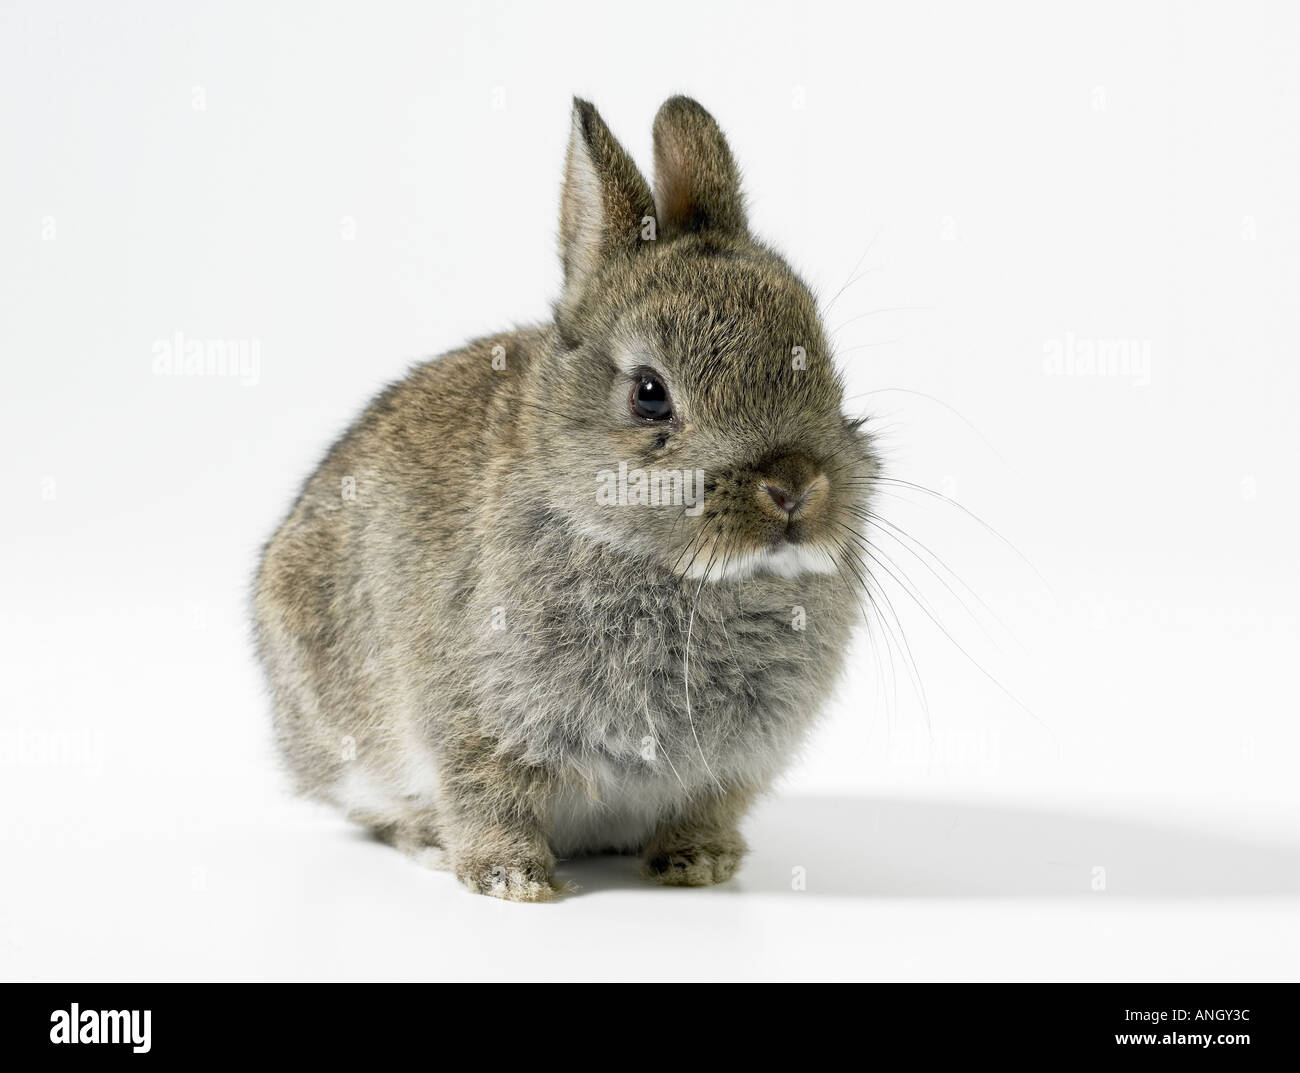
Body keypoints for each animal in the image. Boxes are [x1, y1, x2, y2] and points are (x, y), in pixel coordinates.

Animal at [250, 96, 873, 900]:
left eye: (830, 375)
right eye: (649, 394)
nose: (796, 487)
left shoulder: (729, 770)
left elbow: (702, 808)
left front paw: (699, 863)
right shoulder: (478, 723)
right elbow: (488, 796)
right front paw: (511, 879)